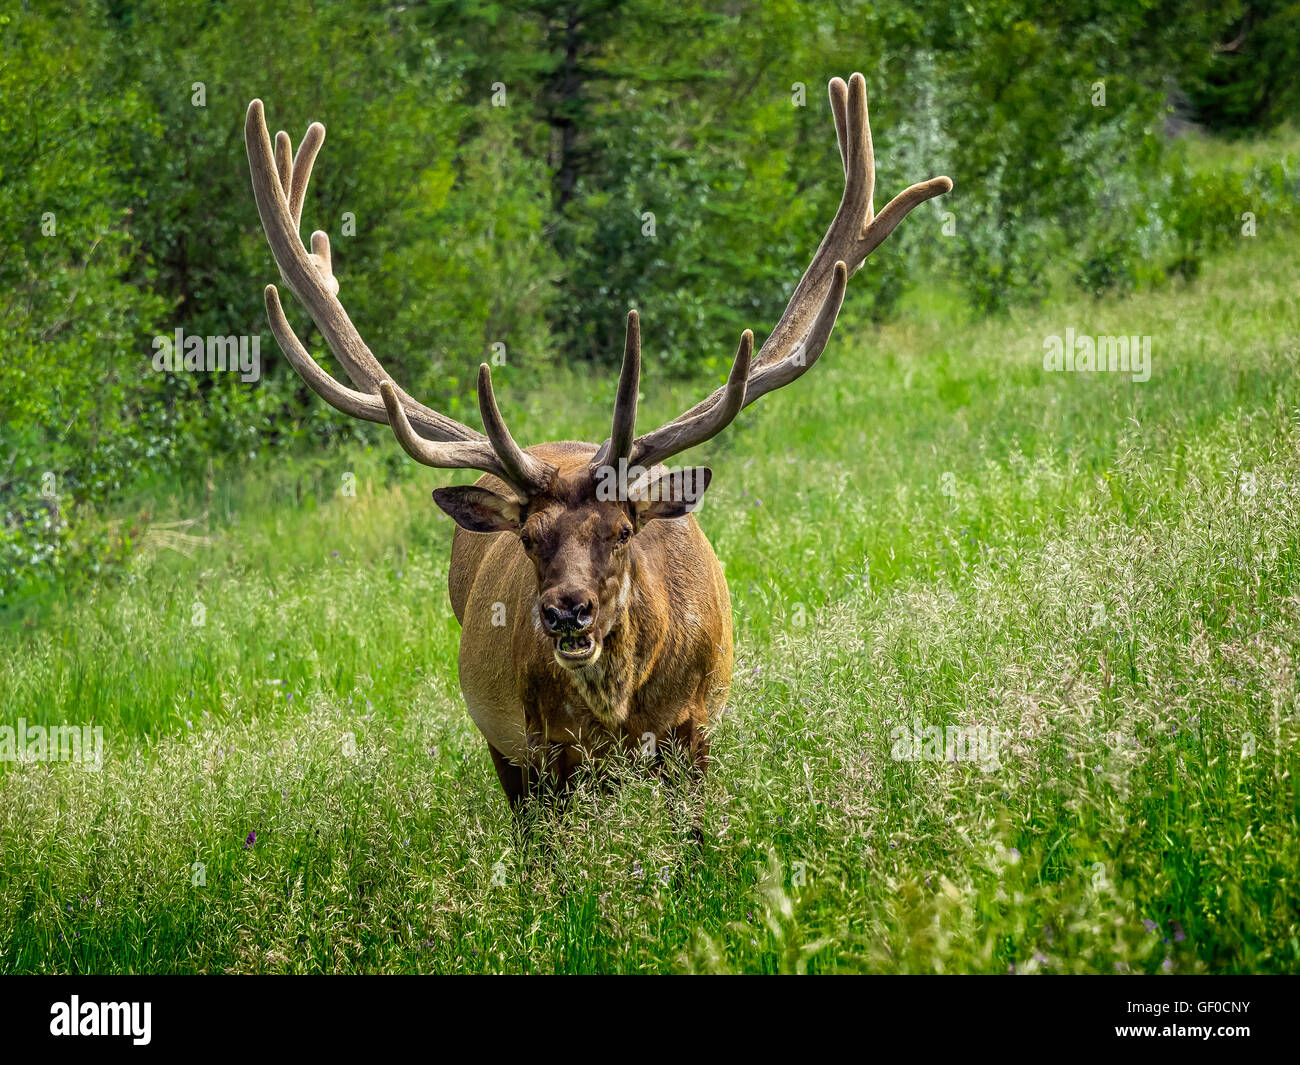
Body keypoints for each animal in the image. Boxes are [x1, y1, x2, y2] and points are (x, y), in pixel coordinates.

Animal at [244, 74, 951, 806]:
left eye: (622, 530)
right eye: (529, 538)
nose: (565, 612)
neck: (619, 711)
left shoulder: (696, 729)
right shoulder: (539, 749)